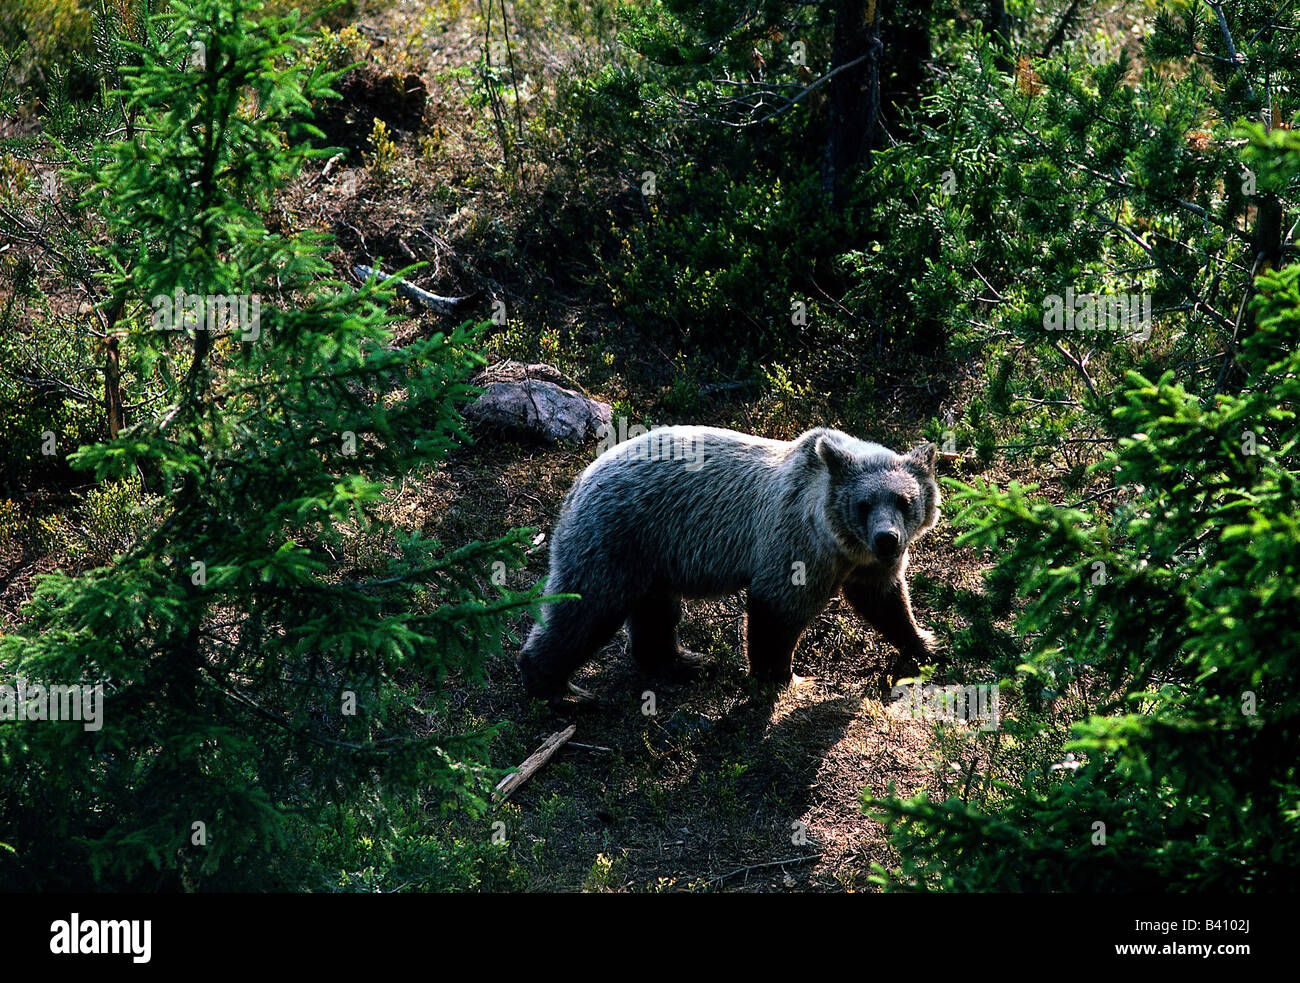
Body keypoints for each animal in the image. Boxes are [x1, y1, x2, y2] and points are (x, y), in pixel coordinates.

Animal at [517, 425, 941, 702]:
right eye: (864, 504)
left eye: (904, 501)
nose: (887, 538)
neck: (840, 544)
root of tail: (580, 479)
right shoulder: (793, 542)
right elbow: (778, 607)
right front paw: (782, 676)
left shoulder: (867, 566)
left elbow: (886, 603)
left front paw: (926, 645)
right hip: (618, 537)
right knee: (587, 609)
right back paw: (559, 688)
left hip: (652, 557)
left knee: (655, 612)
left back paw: (684, 662)